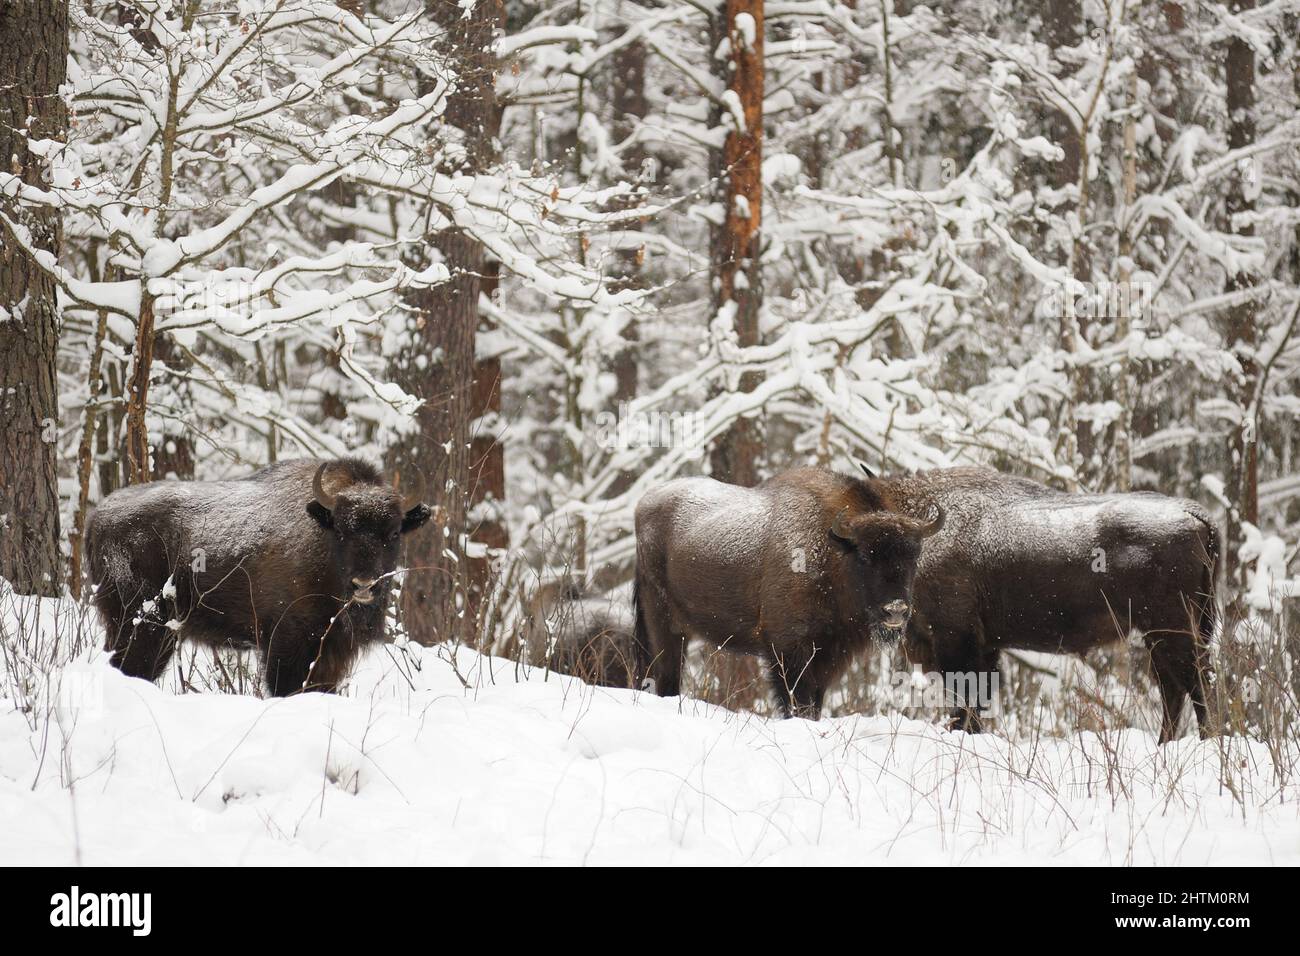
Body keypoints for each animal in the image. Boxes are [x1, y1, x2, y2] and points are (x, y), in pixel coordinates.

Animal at [86, 457, 431, 695]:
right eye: (342, 531)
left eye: (394, 533)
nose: (364, 584)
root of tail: (97, 517)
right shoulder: (286, 646)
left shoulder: (330, 657)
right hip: (143, 626)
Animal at [632, 467, 943, 717]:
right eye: (866, 556)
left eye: (913, 556)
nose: (895, 610)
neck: (831, 549)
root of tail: (644, 503)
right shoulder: (789, 653)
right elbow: (797, 702)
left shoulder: (827, 658)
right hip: (664, 625)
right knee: (666, 674)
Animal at [872, 465, 1218, 742]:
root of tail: (1192, 514)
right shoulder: (985, 646)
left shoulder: (955, 640)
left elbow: (965, 698)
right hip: (1163, 635)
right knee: (1175, 689)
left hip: (1171, 630)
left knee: (1196, 684)